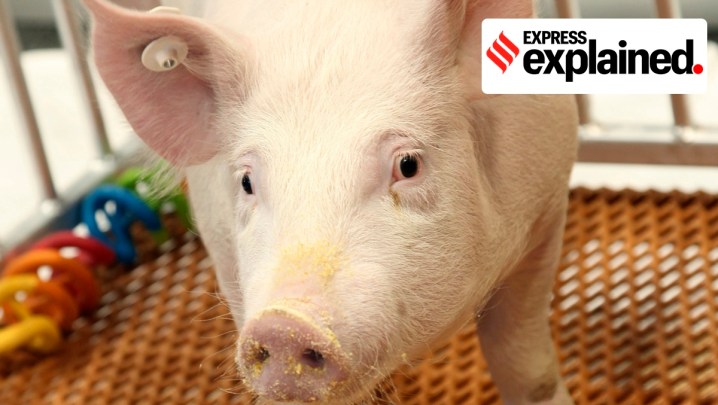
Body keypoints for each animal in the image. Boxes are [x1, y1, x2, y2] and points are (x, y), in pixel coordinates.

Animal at [84, 0, 578, 403]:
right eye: (246, 181)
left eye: (408, 164)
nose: (283, 323)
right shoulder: (225, 258)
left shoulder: (548, 208)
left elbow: (521, 360)